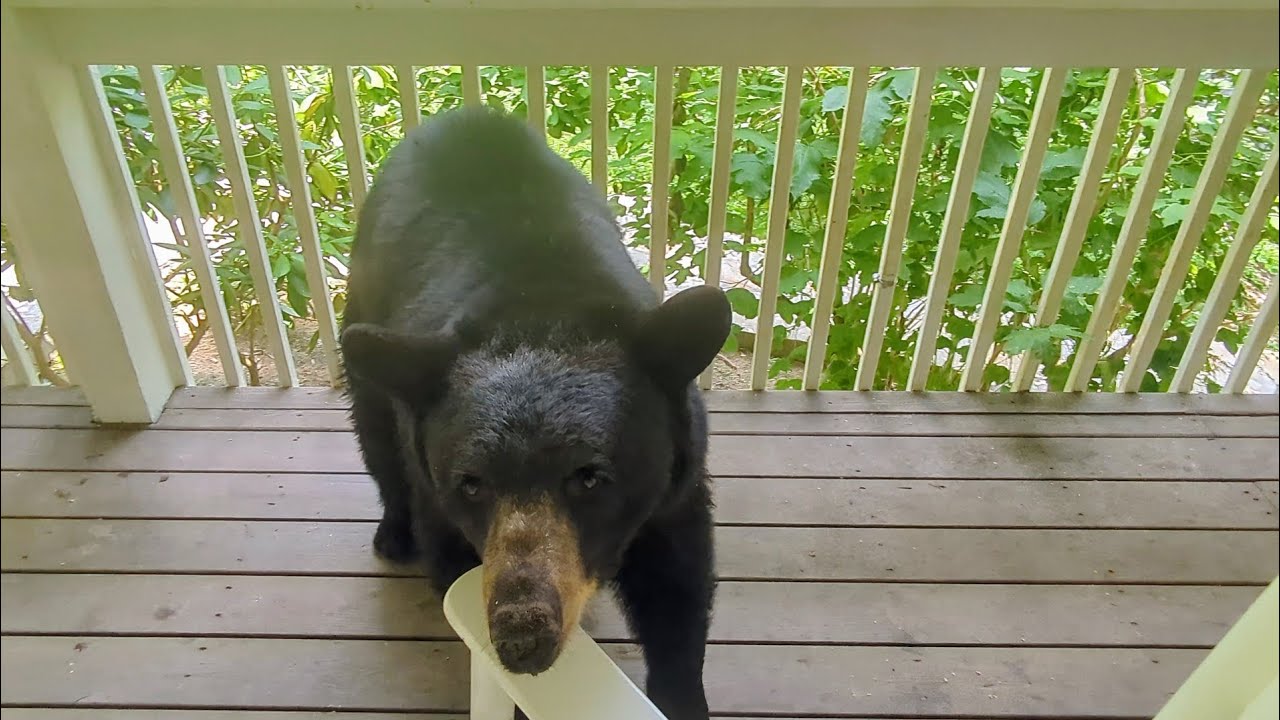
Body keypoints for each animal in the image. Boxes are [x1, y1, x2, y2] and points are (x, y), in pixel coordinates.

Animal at [338, 106, 730, 720]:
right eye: (471, 484)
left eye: (590, 478)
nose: (522, 636)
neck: (538, 308)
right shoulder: (442, 505)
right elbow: (453, 568)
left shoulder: (676, 478)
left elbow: (677, 588)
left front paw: (681, 694)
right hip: (369, 323)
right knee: (375, 435)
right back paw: (393, 532)